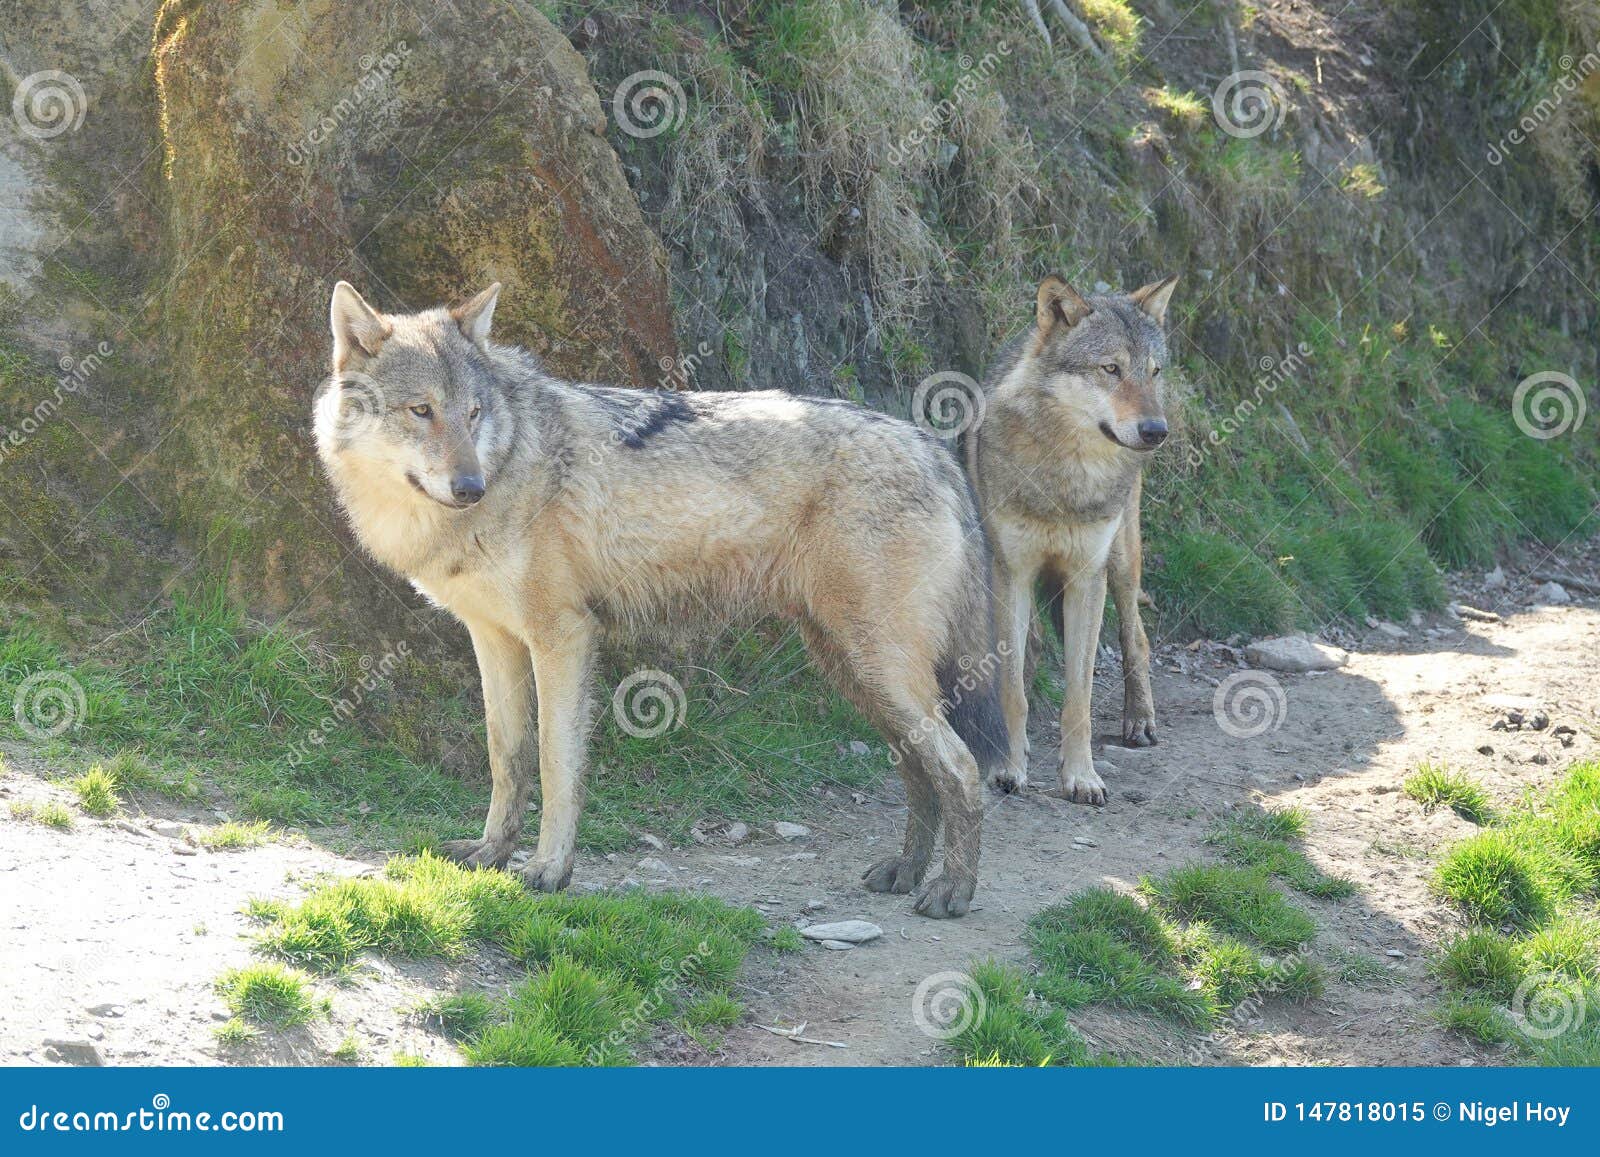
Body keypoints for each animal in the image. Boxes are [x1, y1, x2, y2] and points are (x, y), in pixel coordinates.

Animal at [313, 282, 1008, 917]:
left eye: (475, 412)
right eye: (421, 411)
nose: (470, 487)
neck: (512, 467)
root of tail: (933, 450)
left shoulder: (563, 637)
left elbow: (556, 764)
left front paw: (548, 870)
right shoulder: (495, 638)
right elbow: (507, 757)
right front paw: (490, 853)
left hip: (876, 668)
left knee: (962, 766)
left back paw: (952, 890)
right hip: (853, 669)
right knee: (919, 770)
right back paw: (905, 871)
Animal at [966, 274, 1177, 804]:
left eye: (1153, 372)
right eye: (1110, 369)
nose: (1156, 430)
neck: (1066, 476)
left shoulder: (1086, 578)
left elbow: (1078, 697)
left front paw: (1081, 777)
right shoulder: (1011, 573)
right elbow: (1013, 691)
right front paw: (1010, 767)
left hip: (1120, 563)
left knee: (1136, 637)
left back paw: (1139, 721)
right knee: (1033, 650)